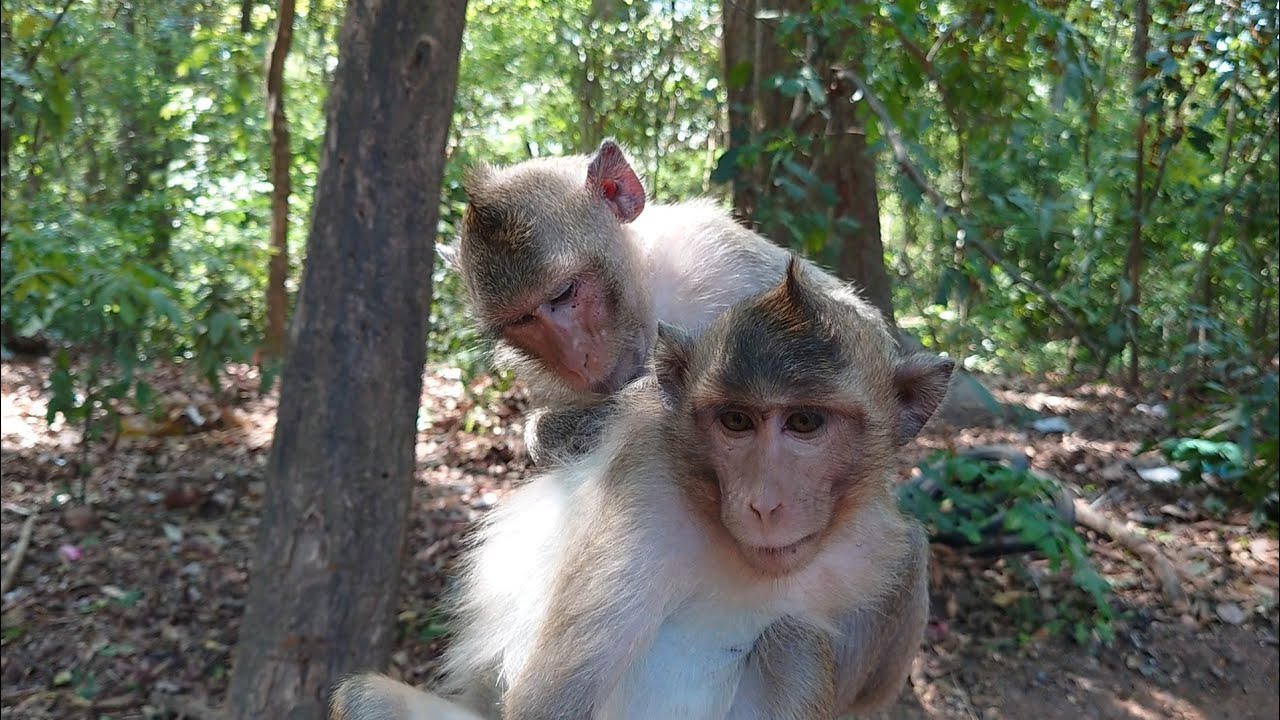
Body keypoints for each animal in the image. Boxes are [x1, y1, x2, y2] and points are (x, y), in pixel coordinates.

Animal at [330, 259, 951, 719]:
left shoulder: (881, 548)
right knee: (366, 700)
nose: (763, 503)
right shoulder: (644, 498)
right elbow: (549, 707)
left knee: (792, 637)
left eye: (804, 423)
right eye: (735, 421)